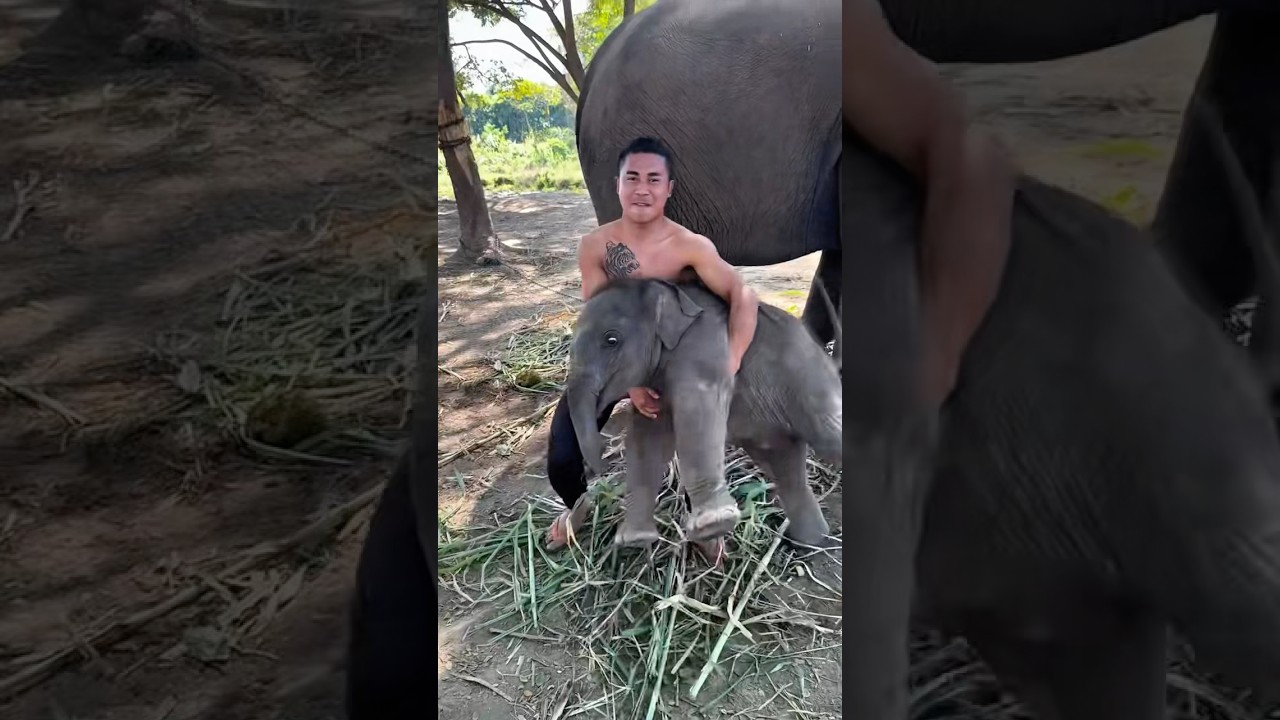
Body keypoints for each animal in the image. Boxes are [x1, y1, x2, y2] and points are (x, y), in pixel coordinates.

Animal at [565, 278, 842, 549]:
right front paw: (634, 540)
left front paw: (713, 525)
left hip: (810, 379)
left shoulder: (704, 349)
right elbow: (646, 437)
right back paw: (808, 543)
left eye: (611, 340)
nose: (595, 471)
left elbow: (695, 410)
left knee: (829, 441)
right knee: (784, 466)